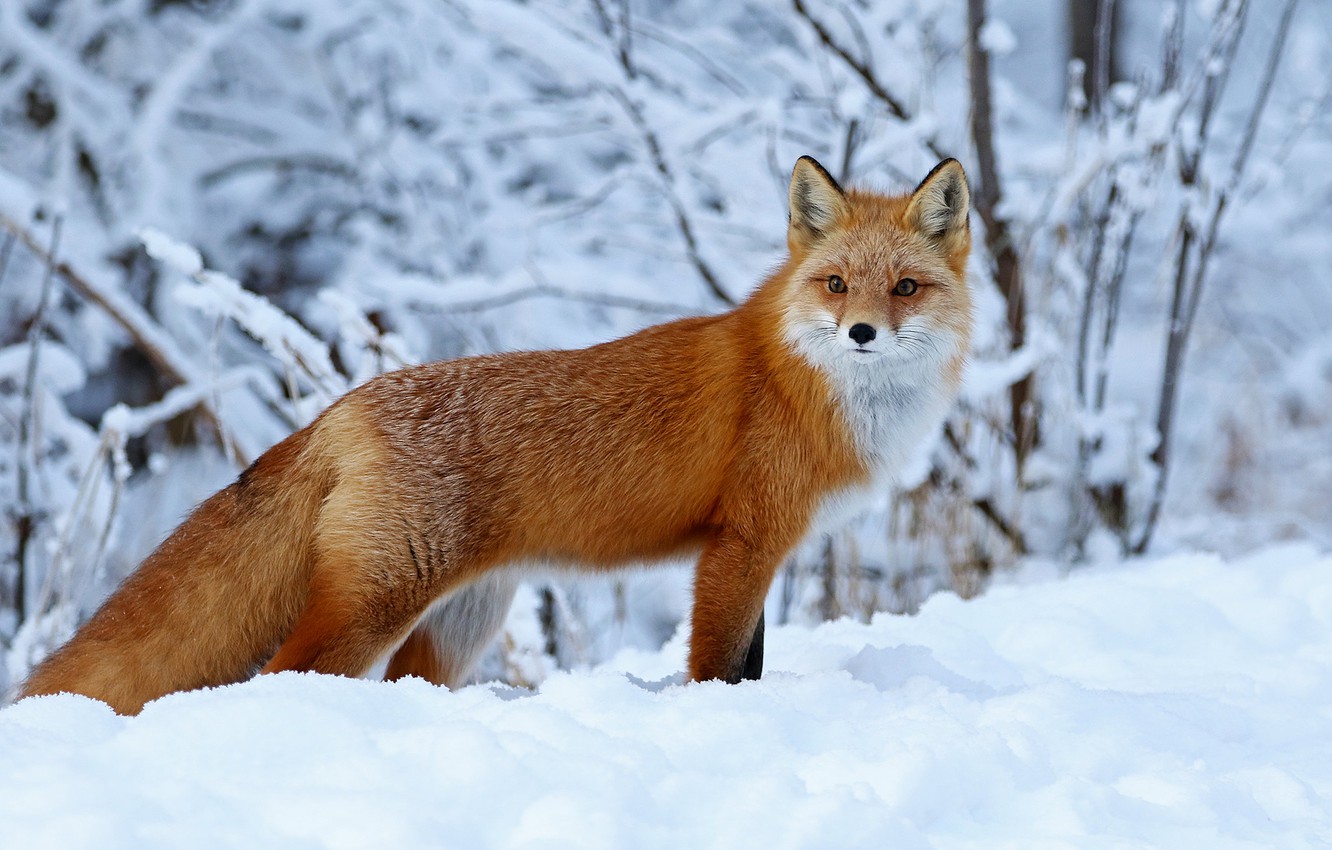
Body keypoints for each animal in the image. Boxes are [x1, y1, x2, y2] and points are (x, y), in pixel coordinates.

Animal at [17, 156, 972, 715]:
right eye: (837, 284)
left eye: (905, 288)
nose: (861, 333)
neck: (803, 381)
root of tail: (345, 406)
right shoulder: (741, 544)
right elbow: (717, 665)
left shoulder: (764, 550)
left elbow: (752, 664)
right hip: (376, 603)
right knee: (285, 674)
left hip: (459, 622)